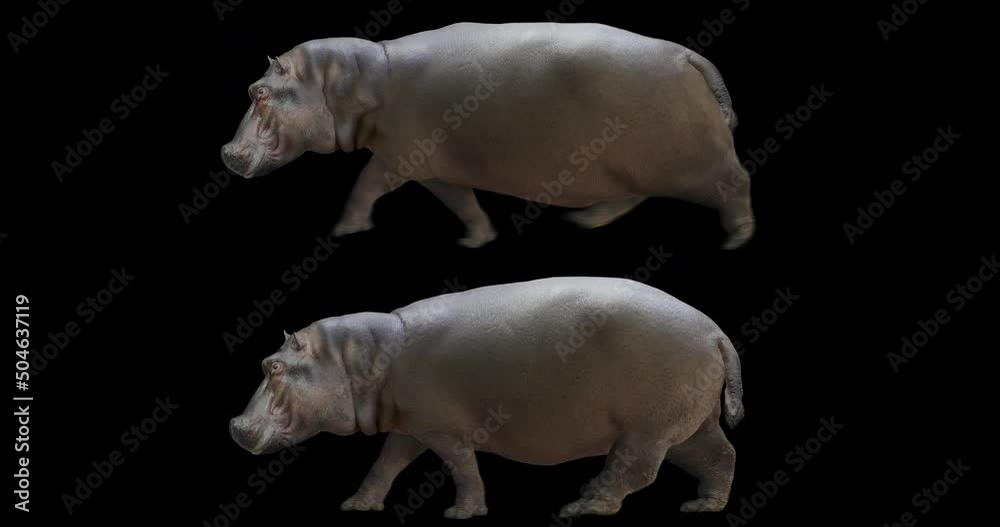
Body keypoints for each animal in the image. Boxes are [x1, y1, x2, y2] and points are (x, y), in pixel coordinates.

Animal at [221, 22, 755, 249]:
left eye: (259, 92)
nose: (226, 152)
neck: (353, 77)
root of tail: (690, 57)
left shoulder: (399, 157)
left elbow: (365, 186)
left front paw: (344, 231)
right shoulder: (431, 166)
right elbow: (462, 201)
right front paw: (477, 239)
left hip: (695, 162)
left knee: (736, 184)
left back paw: (737, 238)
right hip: (633, 165)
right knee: (629, 196)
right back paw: (584, 222)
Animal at [229, 277, 745, 518]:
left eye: (272, 367)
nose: (234, 426)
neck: (355, 358)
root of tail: (715, 331)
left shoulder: (442, 428)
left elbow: (462, 466)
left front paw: (462, 513)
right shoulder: (410, 426)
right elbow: (386, 464)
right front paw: (358, 505)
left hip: (645, 429)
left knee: (634, 469)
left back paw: (583, 504)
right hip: (687, 424)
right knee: (721, 454)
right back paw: (704, 506)